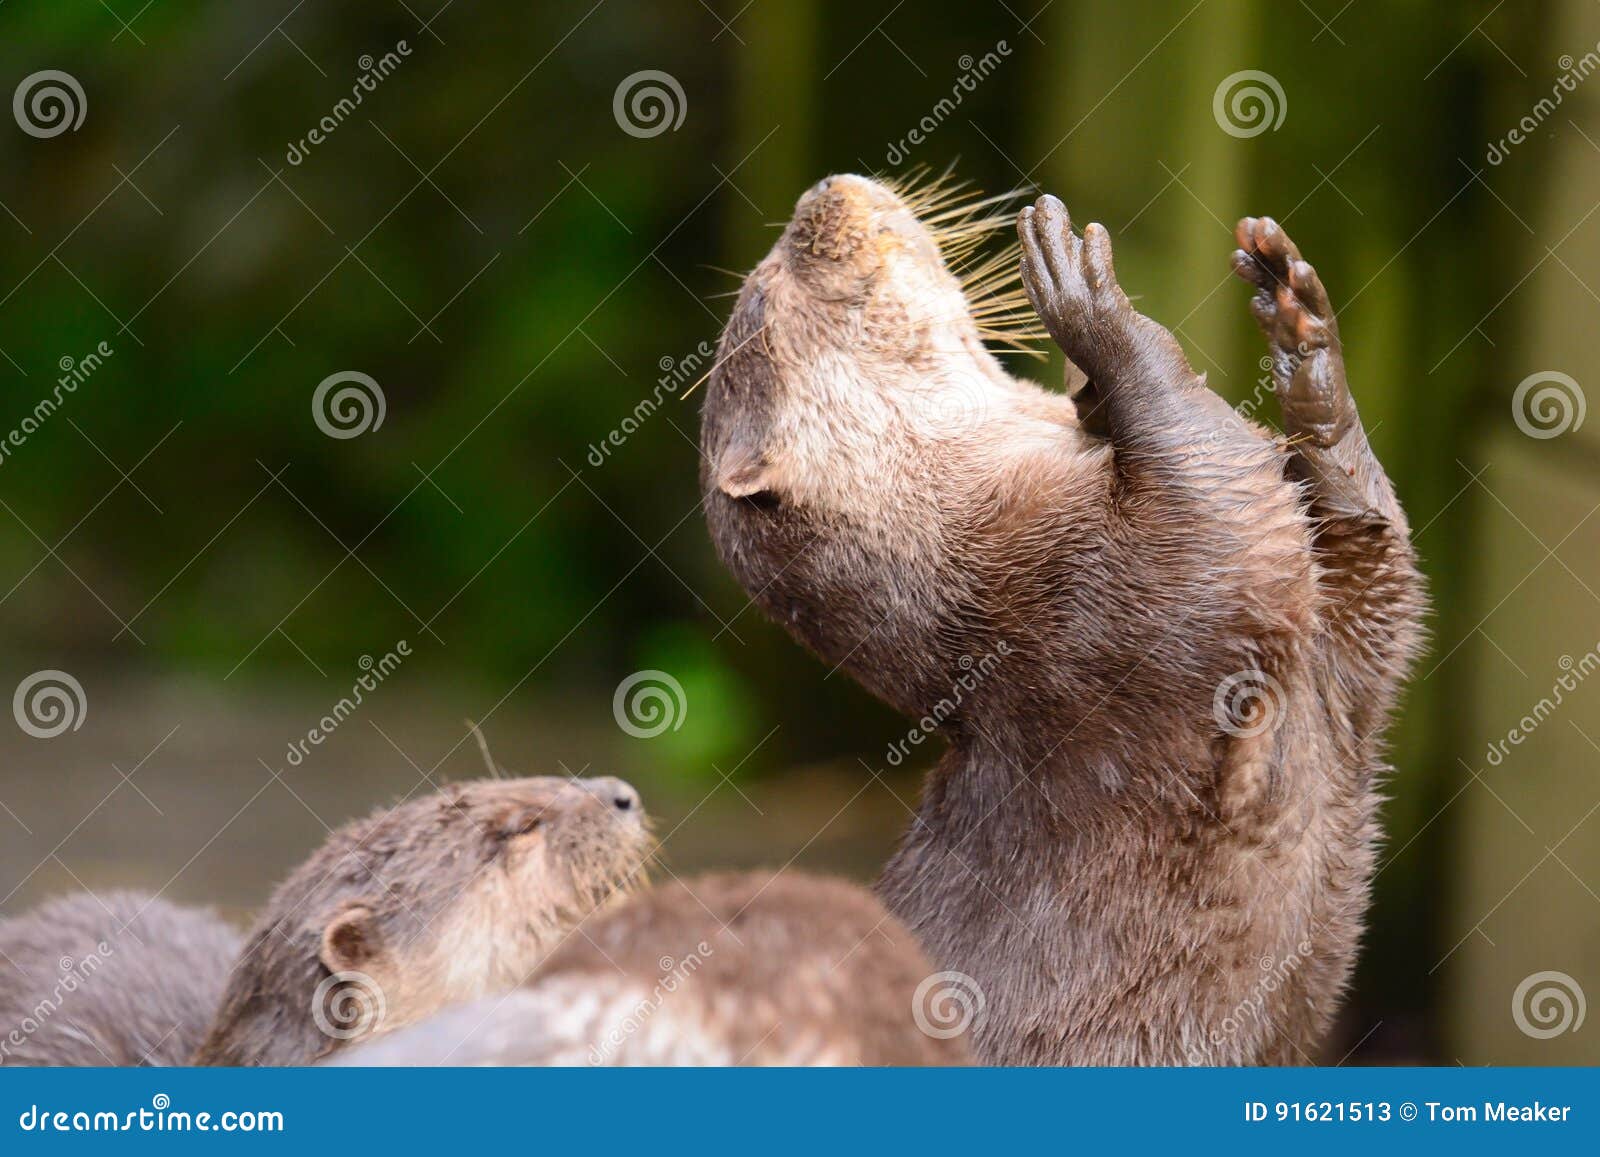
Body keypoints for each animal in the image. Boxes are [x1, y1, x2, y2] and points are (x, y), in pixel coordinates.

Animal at [698, 174, 1423, 1065]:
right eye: (773, 290)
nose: (820, 193)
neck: (981, 557)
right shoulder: (1115, 606)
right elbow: (1211, 476)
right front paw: (1093, 314)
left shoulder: (1344, 658)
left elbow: (1373, 554)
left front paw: (1302, 339)